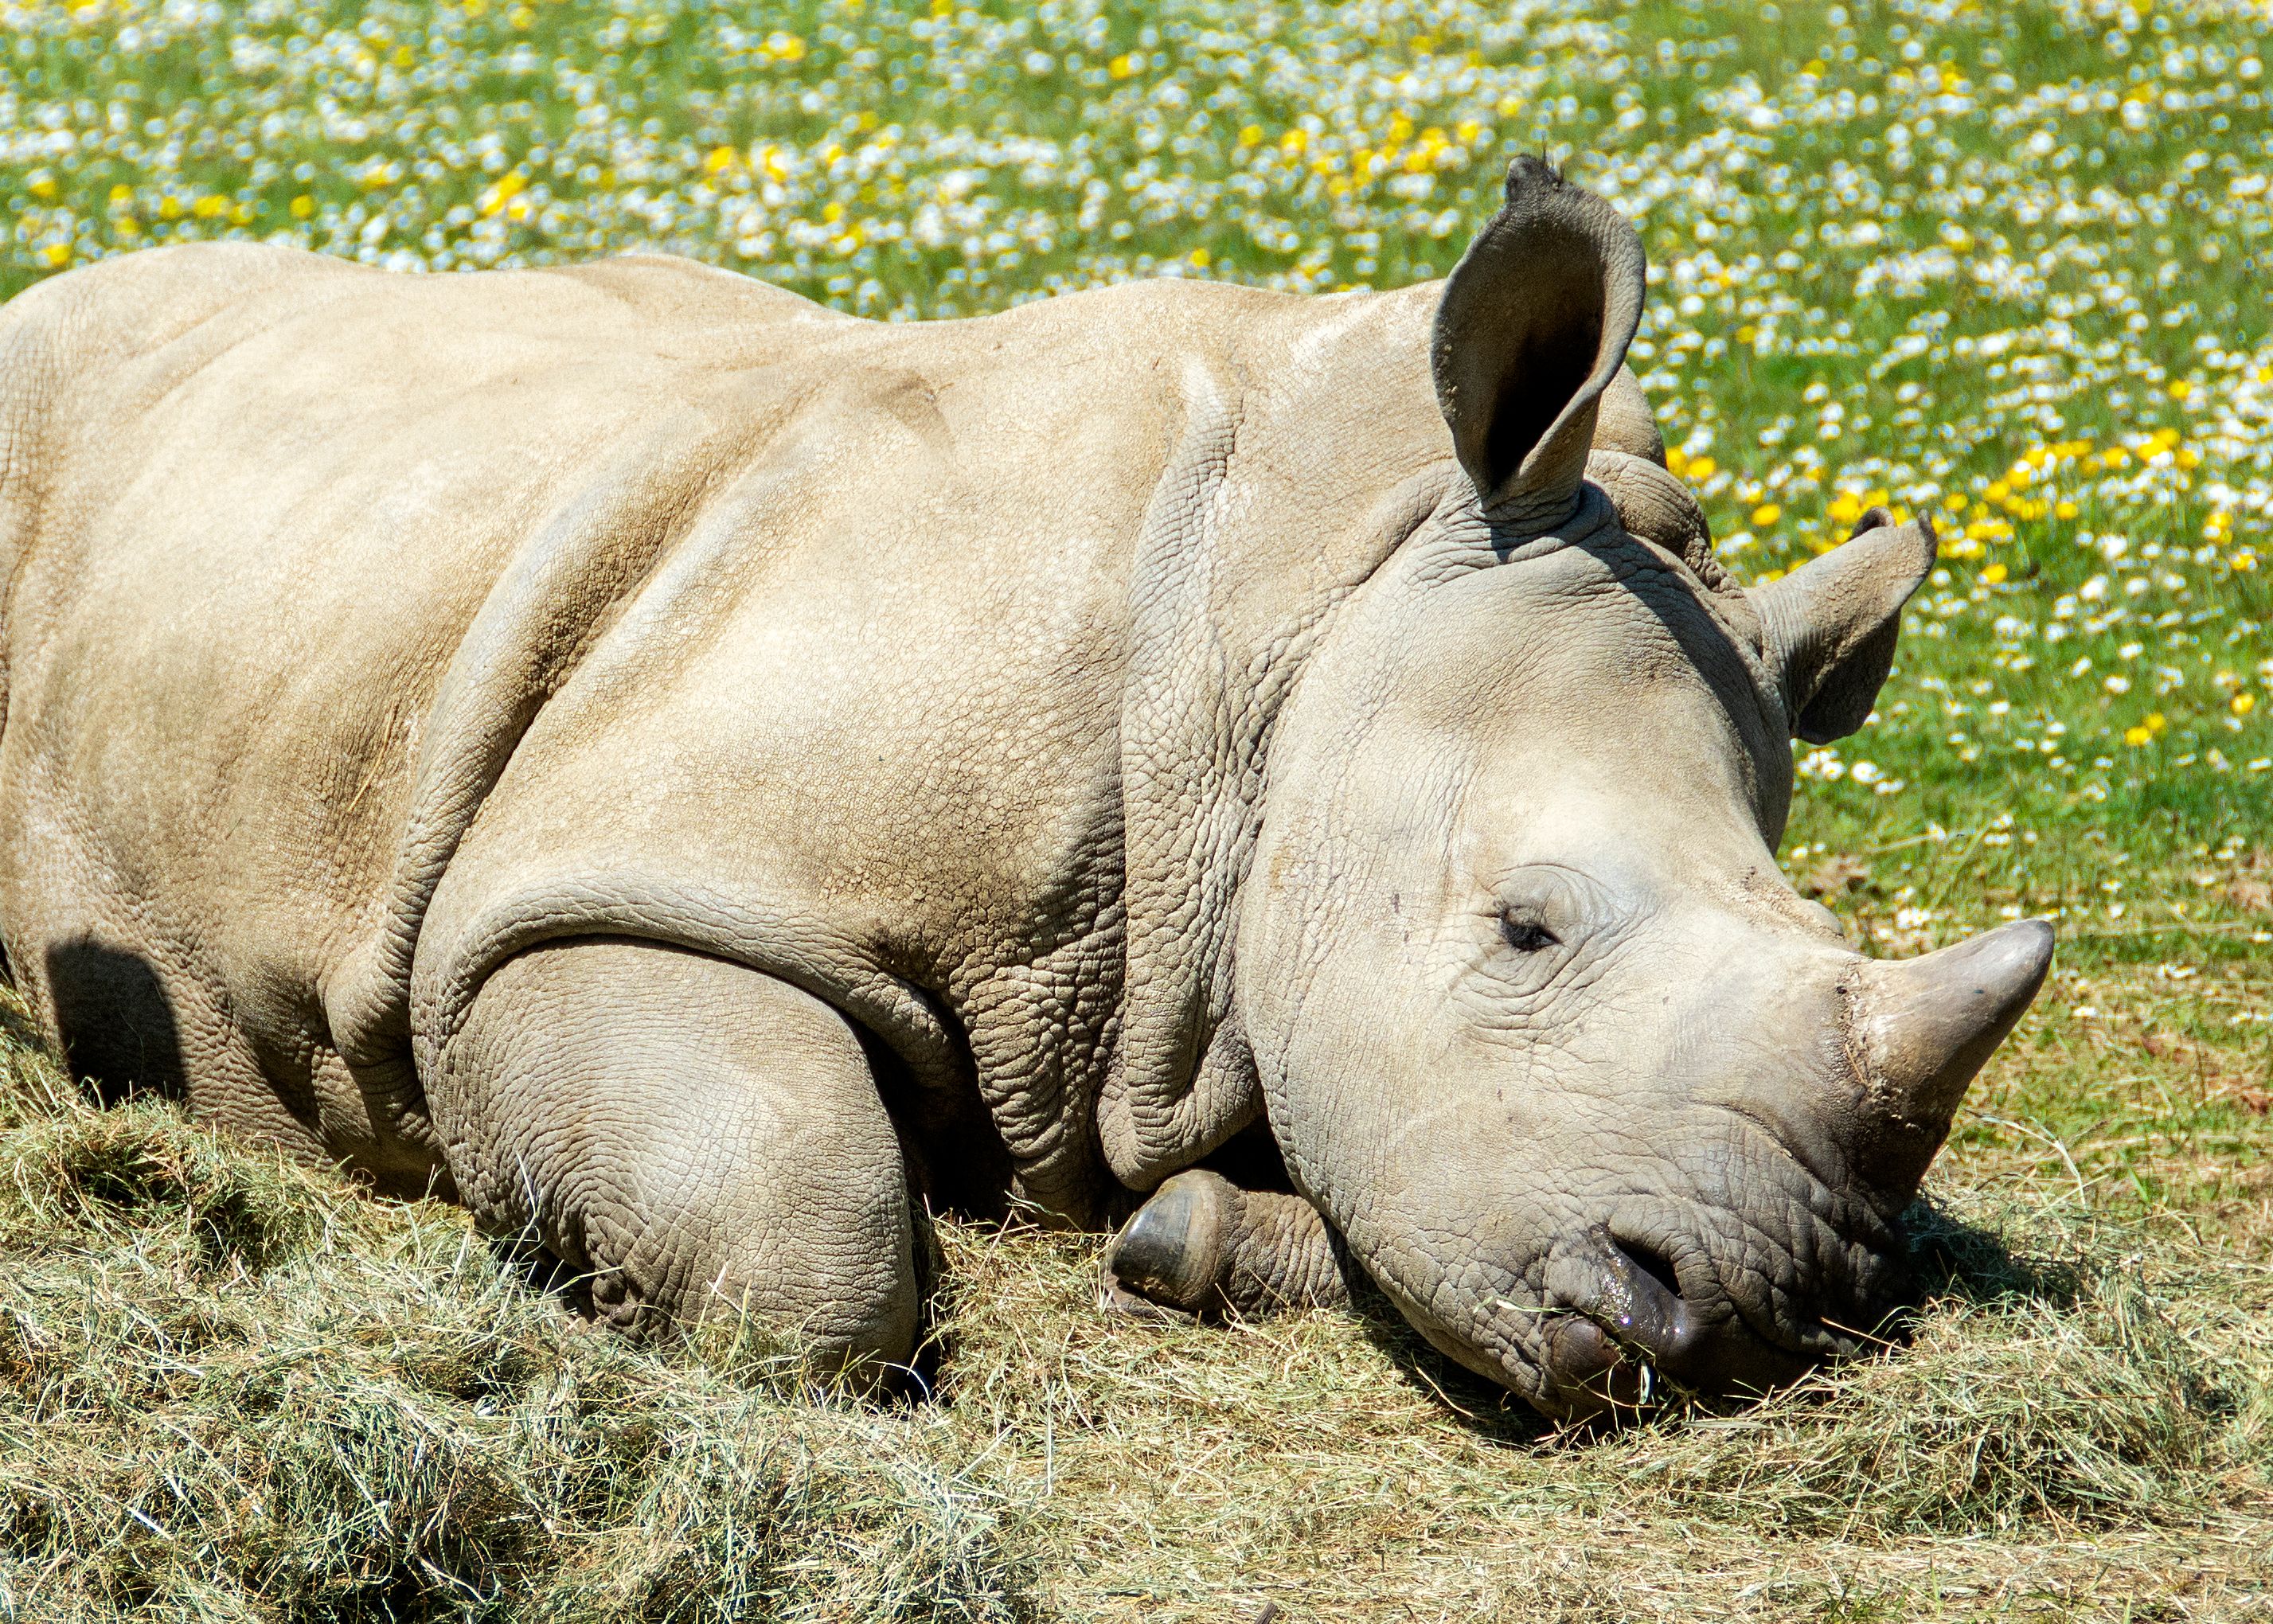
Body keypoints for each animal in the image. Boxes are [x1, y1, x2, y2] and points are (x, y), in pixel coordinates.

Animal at [0, 158, 2049, 1418]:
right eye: (1524, 929)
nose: (1745, 1318)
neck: (1303, 602)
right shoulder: (601, 883)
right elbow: (792, 1245)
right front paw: (566, 1268)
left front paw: (1175, 1243)